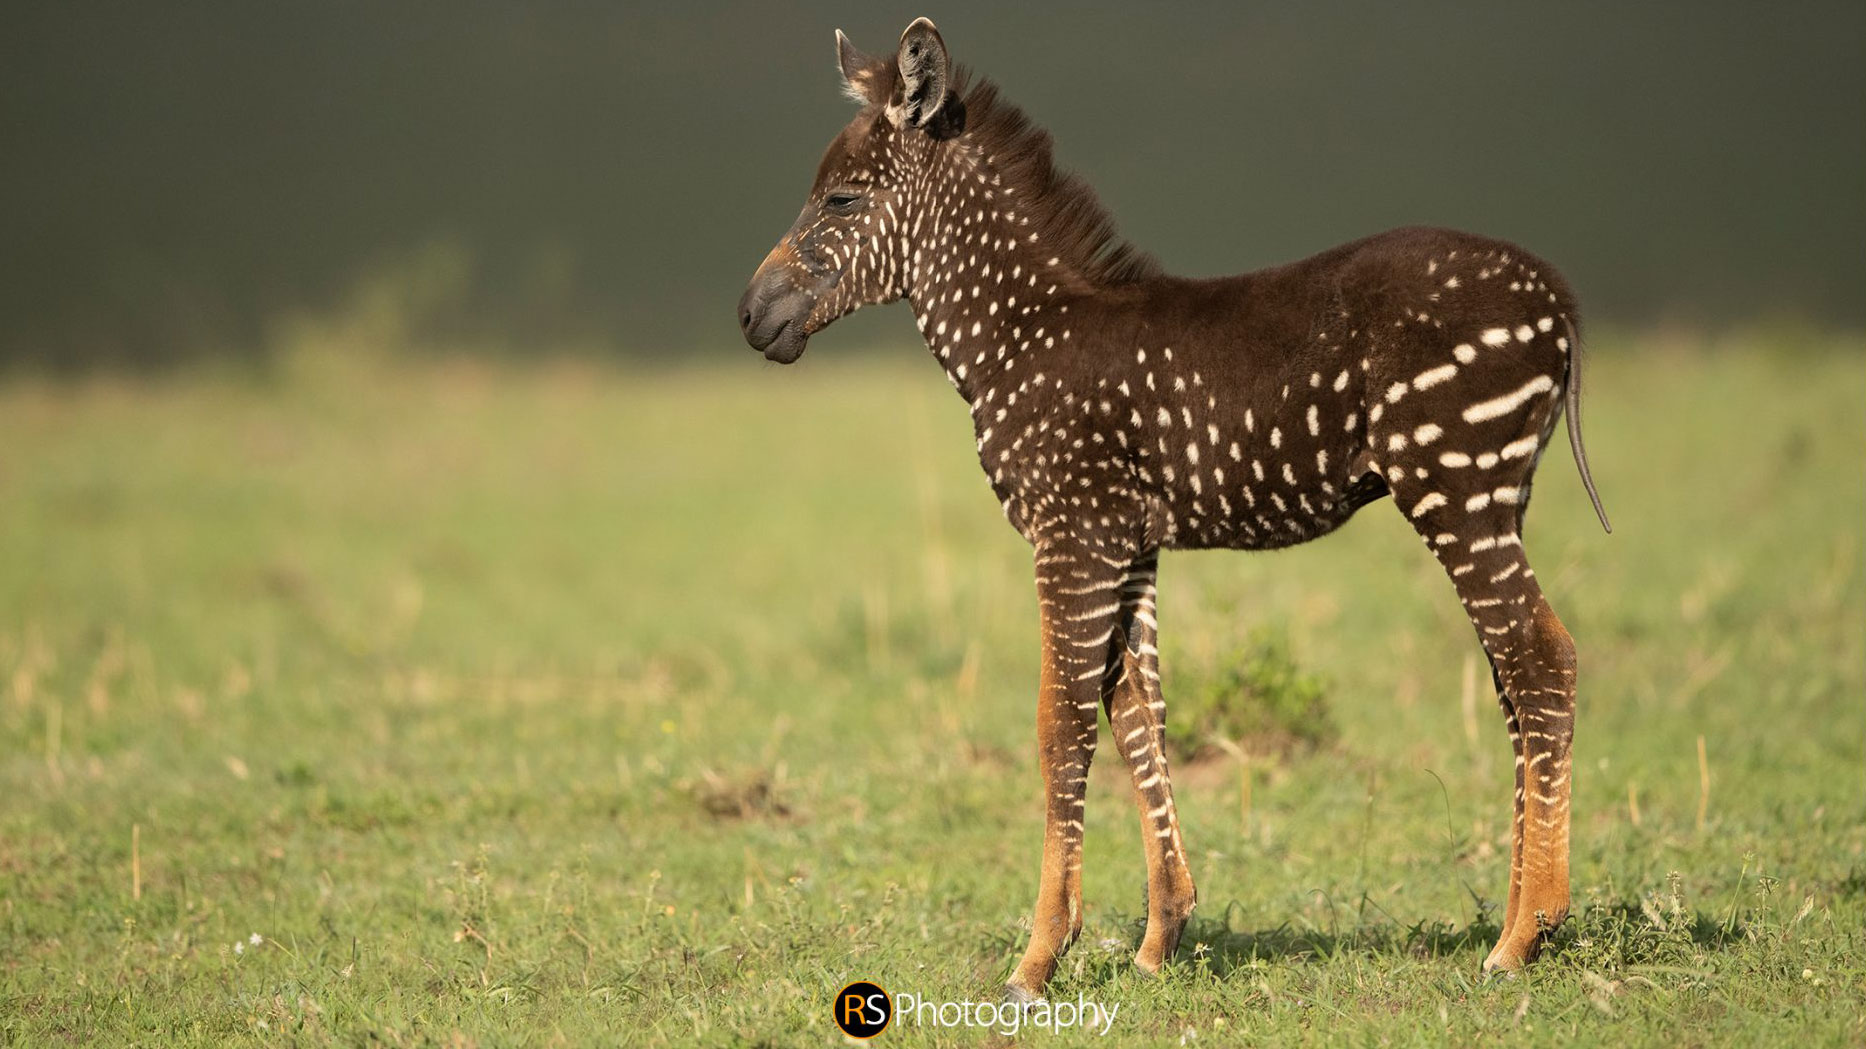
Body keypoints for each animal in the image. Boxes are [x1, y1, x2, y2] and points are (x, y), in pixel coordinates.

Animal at [738, 18, 1610, 1002]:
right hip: (1497, 495)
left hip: (1455, 484)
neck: (1019, 333)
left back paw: (1524, 934)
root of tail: (1555, 295)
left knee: (1542, 659)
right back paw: (1522, 918)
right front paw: (1161, 937)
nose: (749, 316)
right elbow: (1137, 715)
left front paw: (1039, 956)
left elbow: (1062, 724)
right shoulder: (1129, 543)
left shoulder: (1072, 534)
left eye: (842, 200)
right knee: (1514, 677)